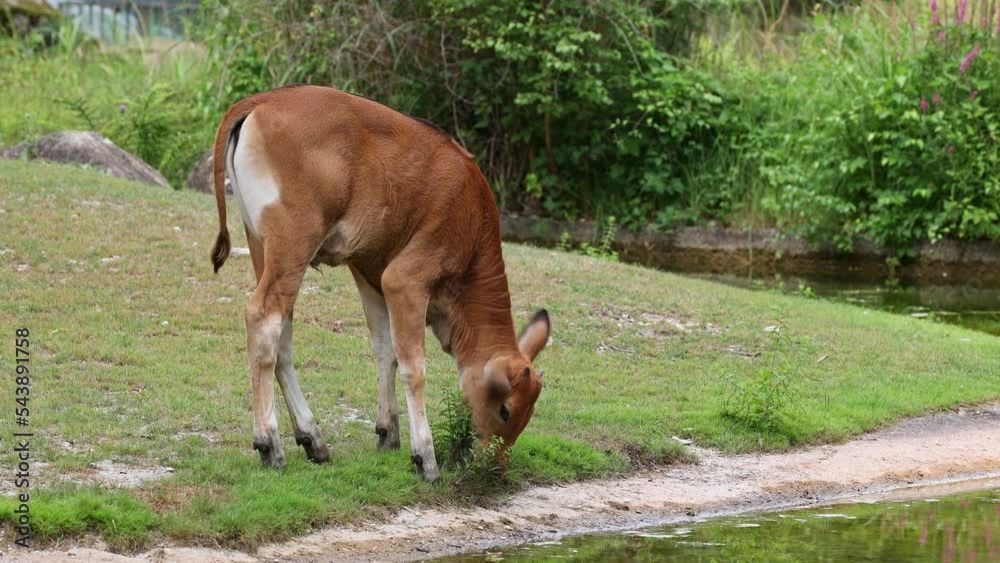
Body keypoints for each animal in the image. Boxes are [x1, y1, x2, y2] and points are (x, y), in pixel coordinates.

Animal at [209, 85, 550, 481]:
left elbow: (385, 349)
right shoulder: (405, 280)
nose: (495, 466)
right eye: (505, 410)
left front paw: (388, 431)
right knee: (264, 319)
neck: (472, 217)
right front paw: (425, 456)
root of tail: (262, 100)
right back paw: (269, 444)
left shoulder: (369, 274)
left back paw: (312, 437)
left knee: (282, 337)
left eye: (527, 416)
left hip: (265, 248)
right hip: (293, 246)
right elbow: (413, 366)